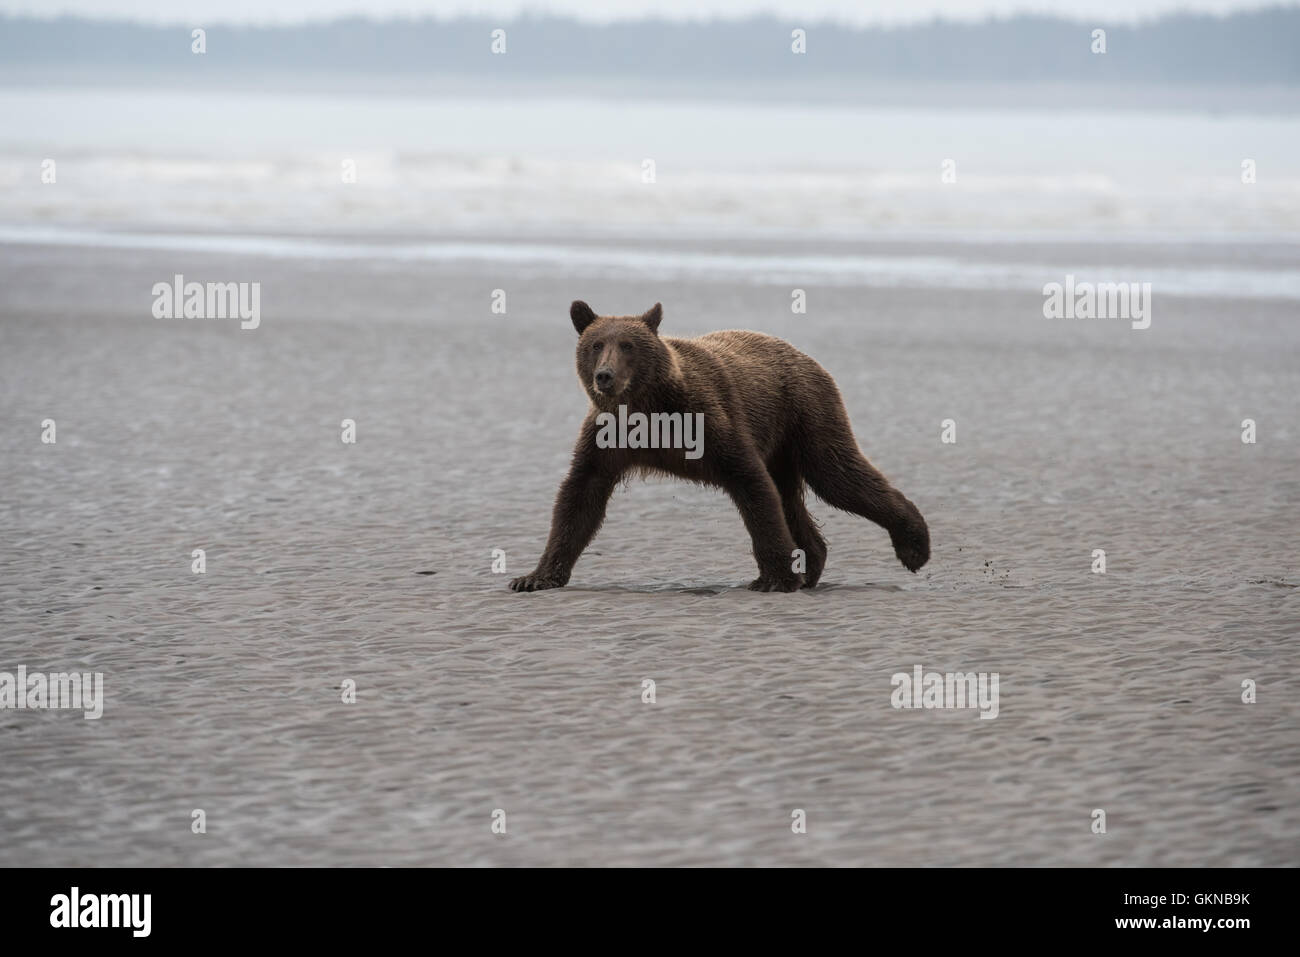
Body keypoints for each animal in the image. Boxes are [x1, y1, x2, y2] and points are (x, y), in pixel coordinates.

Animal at [508, 301, 930, 593]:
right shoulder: (608, 436)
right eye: (596, 344)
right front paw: (534, 577)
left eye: (627, 345)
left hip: (804, 411)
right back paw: (812, 565)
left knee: (837, 475)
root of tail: (805, 355)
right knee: (793, 497)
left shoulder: (708, 418)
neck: (648, 409)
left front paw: (773, 578)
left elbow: (750, 483)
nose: (605, 376)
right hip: (782, 441)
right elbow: (580, 495)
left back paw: (914, 546)